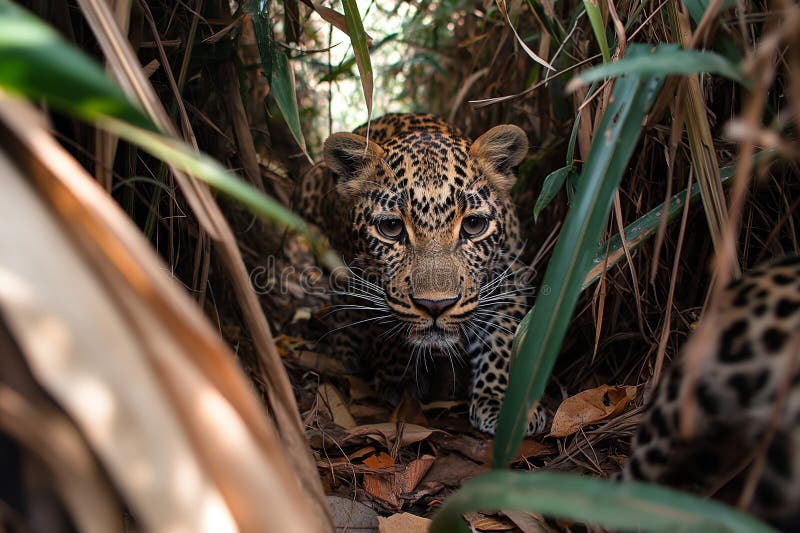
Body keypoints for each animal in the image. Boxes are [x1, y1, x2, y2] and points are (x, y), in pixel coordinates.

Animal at [298, 112, 546, 435]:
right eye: (390, 228)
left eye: (474, 225)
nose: (435, 306)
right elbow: (385, 328)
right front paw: (399, 379)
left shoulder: (509, 277)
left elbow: (504, 339)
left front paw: (506, 402)